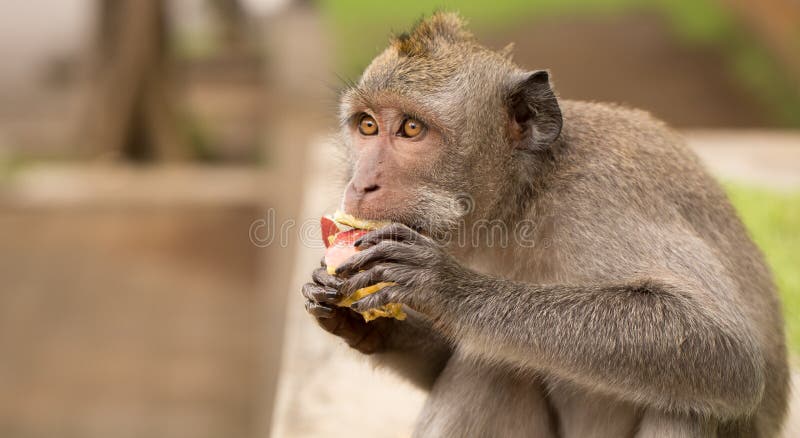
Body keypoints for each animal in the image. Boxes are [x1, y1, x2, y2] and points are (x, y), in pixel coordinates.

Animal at [301, 12, 788, 438]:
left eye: (410, 129)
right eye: (367, 126)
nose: (361, 183)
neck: (521, 200)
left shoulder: (600, 199)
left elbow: (725, 346)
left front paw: (445, 286)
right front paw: (361, 320)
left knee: (693, 404)